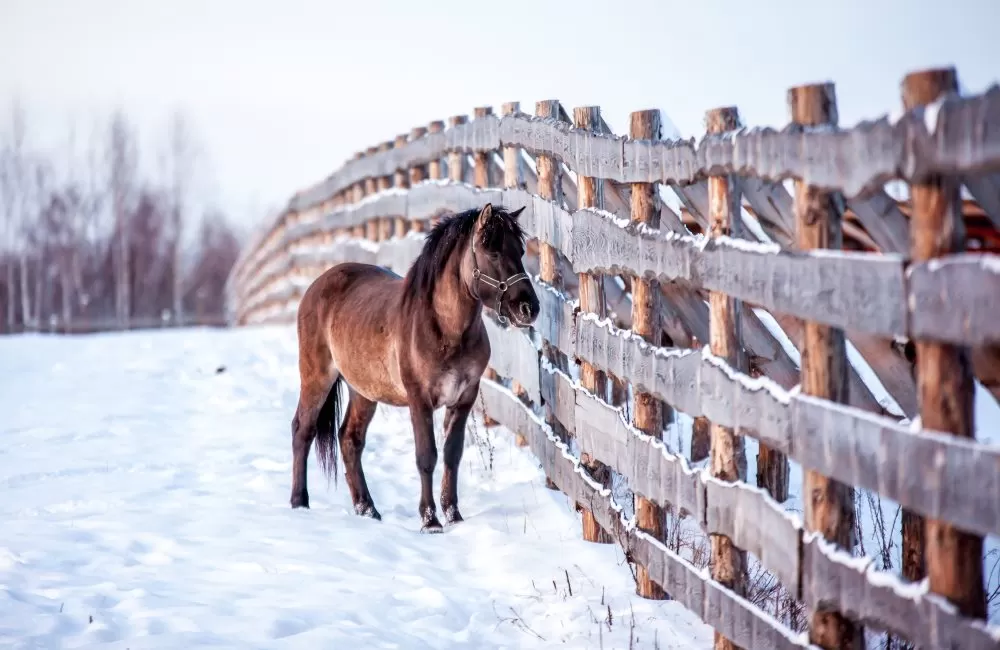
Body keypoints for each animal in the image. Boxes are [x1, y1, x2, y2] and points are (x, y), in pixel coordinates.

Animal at [290, 202, 540, 532]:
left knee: (350, 440)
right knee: (302, 430)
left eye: (520, 250)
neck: (445, 330)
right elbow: (426, 456)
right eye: (493, 252)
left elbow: (452, 455)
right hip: (317, 377)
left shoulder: (464, 398)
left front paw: (454, 516)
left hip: (364, 391)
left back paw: (368, 509)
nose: (529, 308)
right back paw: (299, 503)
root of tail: (319, 284)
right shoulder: (419, 399)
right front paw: (430, 521)